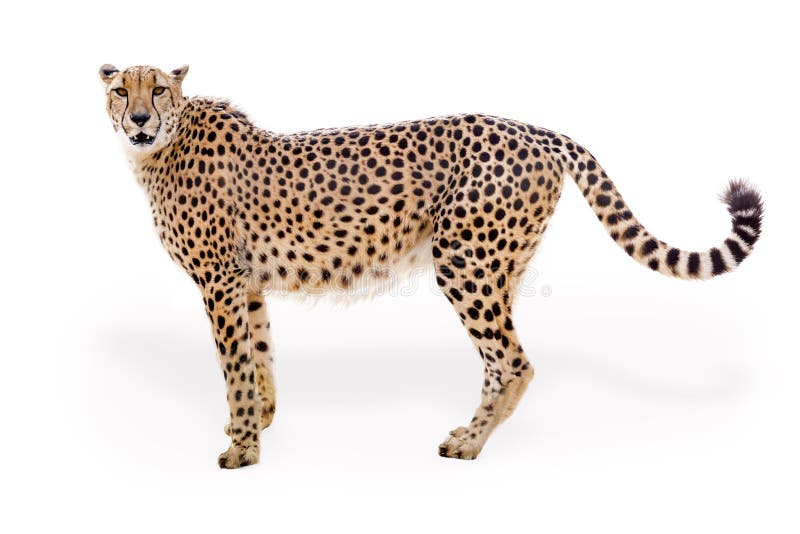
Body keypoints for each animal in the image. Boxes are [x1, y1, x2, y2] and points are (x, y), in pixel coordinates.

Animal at [99, 64, 764, 468]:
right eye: (120, 90)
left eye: (158, 89)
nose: (139, 119)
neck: (163, 145)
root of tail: (534, 129)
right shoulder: (248, 283)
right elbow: (258, 356)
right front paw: (259, 424)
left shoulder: (219, 281)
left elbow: (233, 365)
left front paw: (242, 450)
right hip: (500, 266)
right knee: (499, 358)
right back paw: (470, 432)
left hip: (464, 262)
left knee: (514, 360)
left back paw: (471, 444)